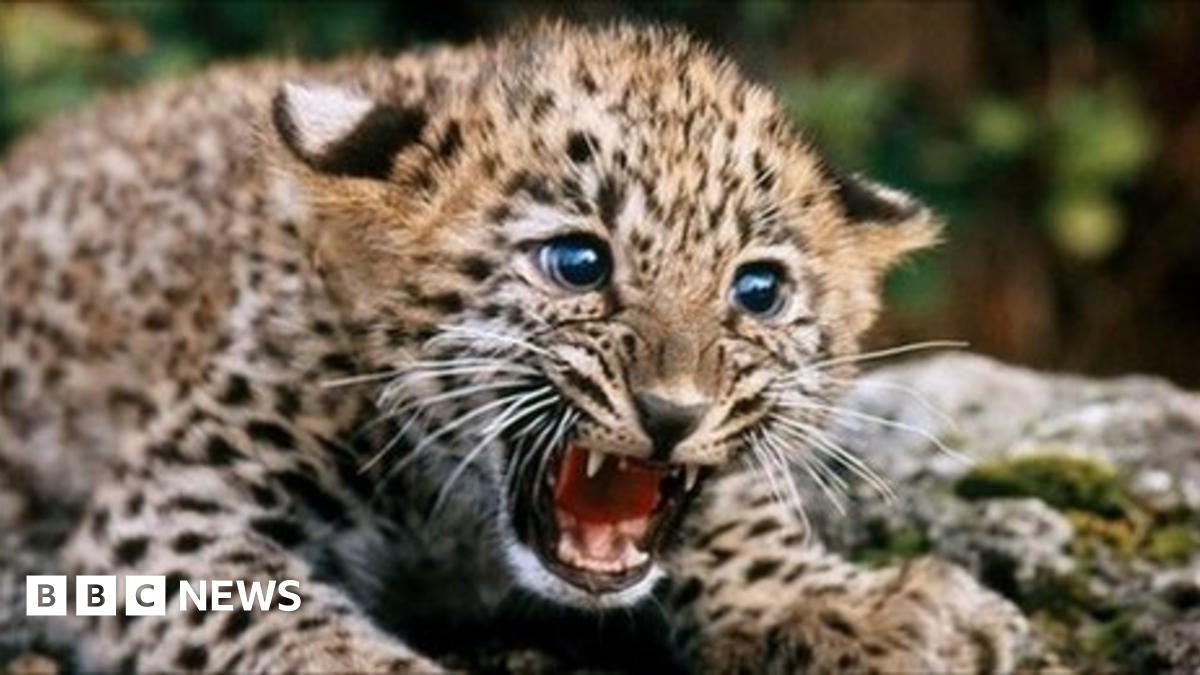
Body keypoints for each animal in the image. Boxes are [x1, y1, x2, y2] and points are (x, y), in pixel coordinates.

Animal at [0, 21, 1029, 673]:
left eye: (758, 290)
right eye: (578, 262)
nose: (673, 412)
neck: (455, 527)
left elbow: (742, 519)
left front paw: (863, 609)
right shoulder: (173, 504)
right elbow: (270, 622)